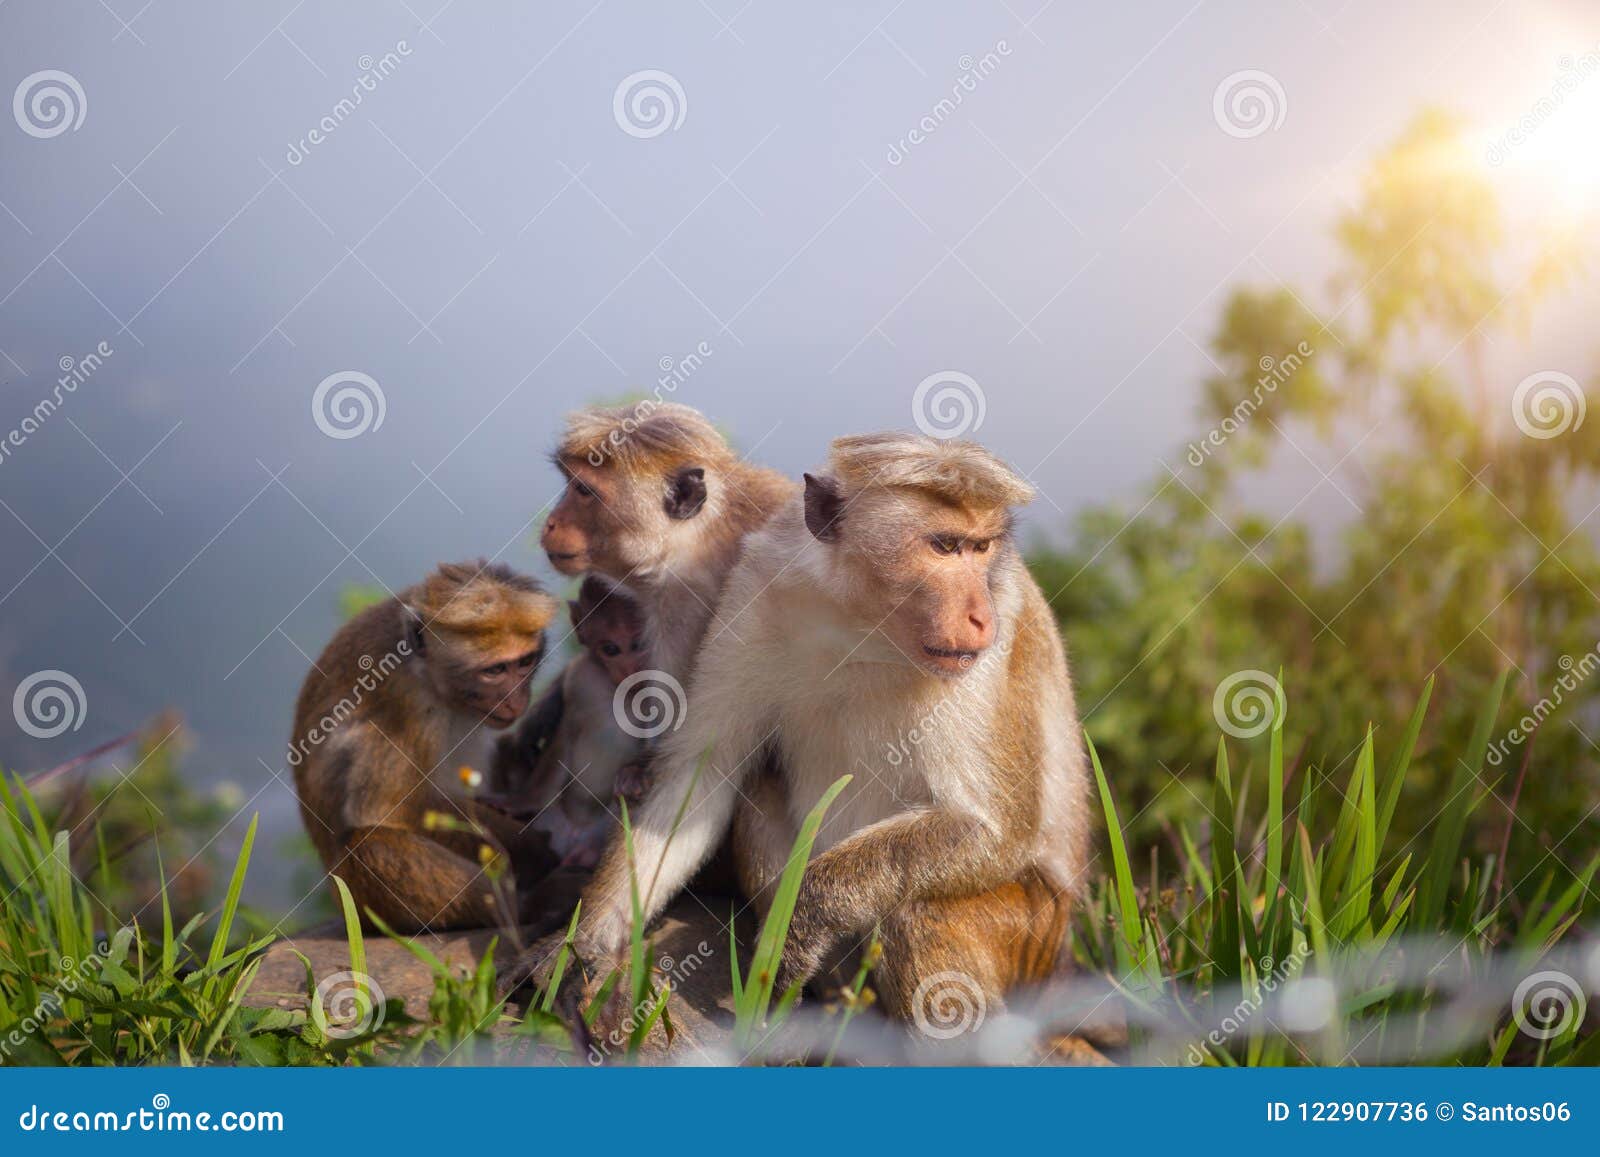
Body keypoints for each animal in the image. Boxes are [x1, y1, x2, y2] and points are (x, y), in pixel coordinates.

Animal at [290, 561, 561, 933]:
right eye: (495, 670)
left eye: (524, 662)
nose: (515, 699)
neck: (430, 676)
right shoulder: (407, 706)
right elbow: (393, 808)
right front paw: (530, 849)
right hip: (358, 909)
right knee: (367, 846)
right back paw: (523, 910)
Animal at [490, 575, 650, 868]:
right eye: (611, 649)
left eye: (638, 644)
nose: (631, 668)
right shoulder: (579, 680)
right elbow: (563, 737)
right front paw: (522, 800)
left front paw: (634, 773)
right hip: (550, 823)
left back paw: (590, 854)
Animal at [510, 432, 1090, 1034]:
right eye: (945, 546)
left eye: (981, 549)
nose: (979, 616)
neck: (864, 624)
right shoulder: (753, 589)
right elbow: (698, 777)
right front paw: (578, 945)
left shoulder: (991, 644)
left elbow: (994, 831)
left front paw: (805, 911)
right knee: (759, 784)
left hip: (1031, 933)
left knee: (917, 911)